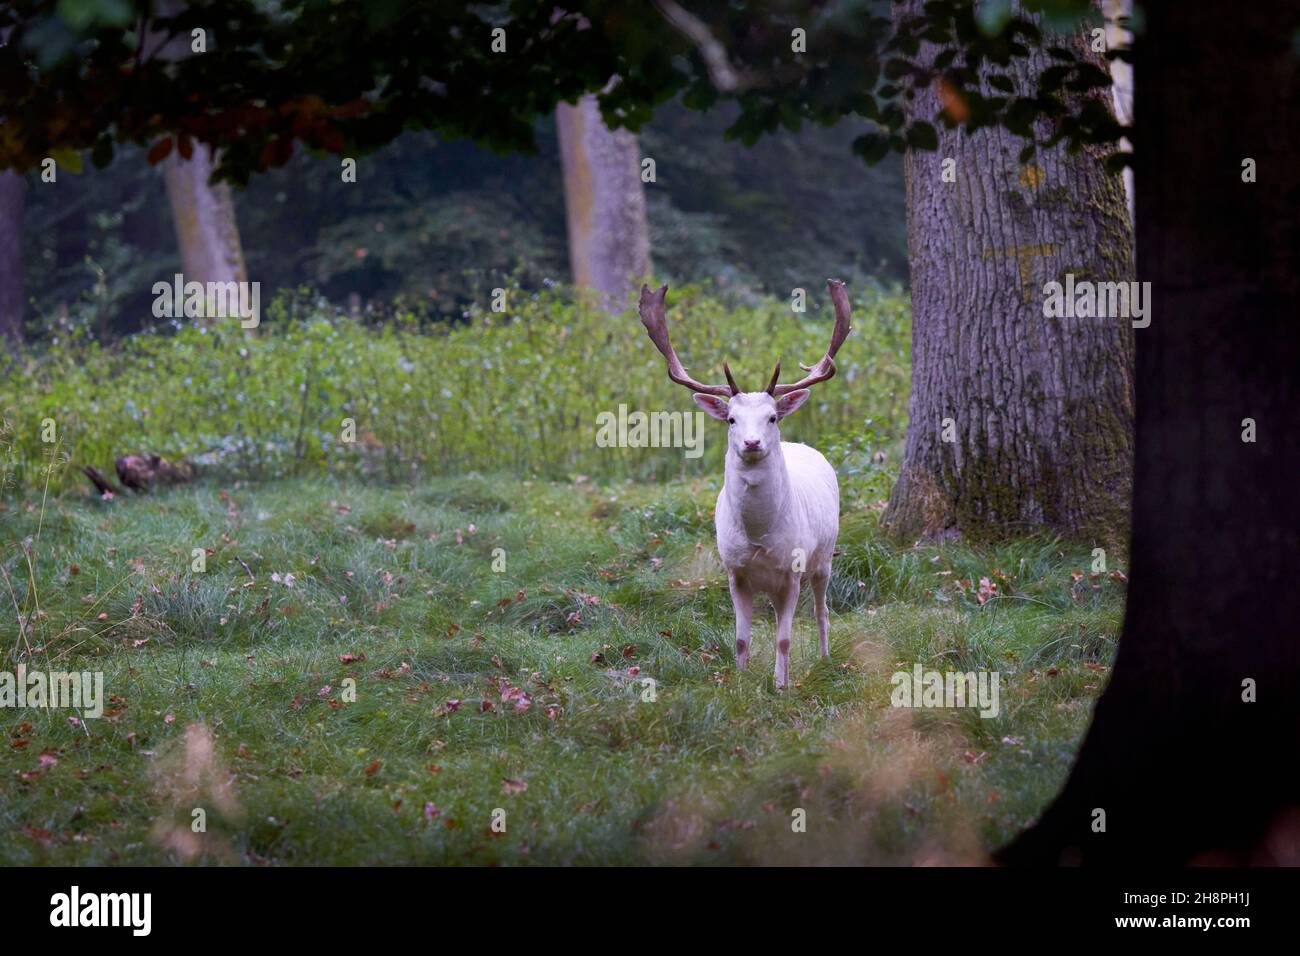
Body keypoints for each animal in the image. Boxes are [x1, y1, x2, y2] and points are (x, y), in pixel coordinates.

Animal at [639, 279, 853, 688]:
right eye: (731, 419)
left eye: (772, 417)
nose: (752, 443)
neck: (758, 535)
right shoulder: (734, 571)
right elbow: (740, 638)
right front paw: (739, 682)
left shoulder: (792, 571)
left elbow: (784, 639)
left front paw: (781, 686)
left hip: (824, 556)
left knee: (821, 610)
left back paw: (824, 659)